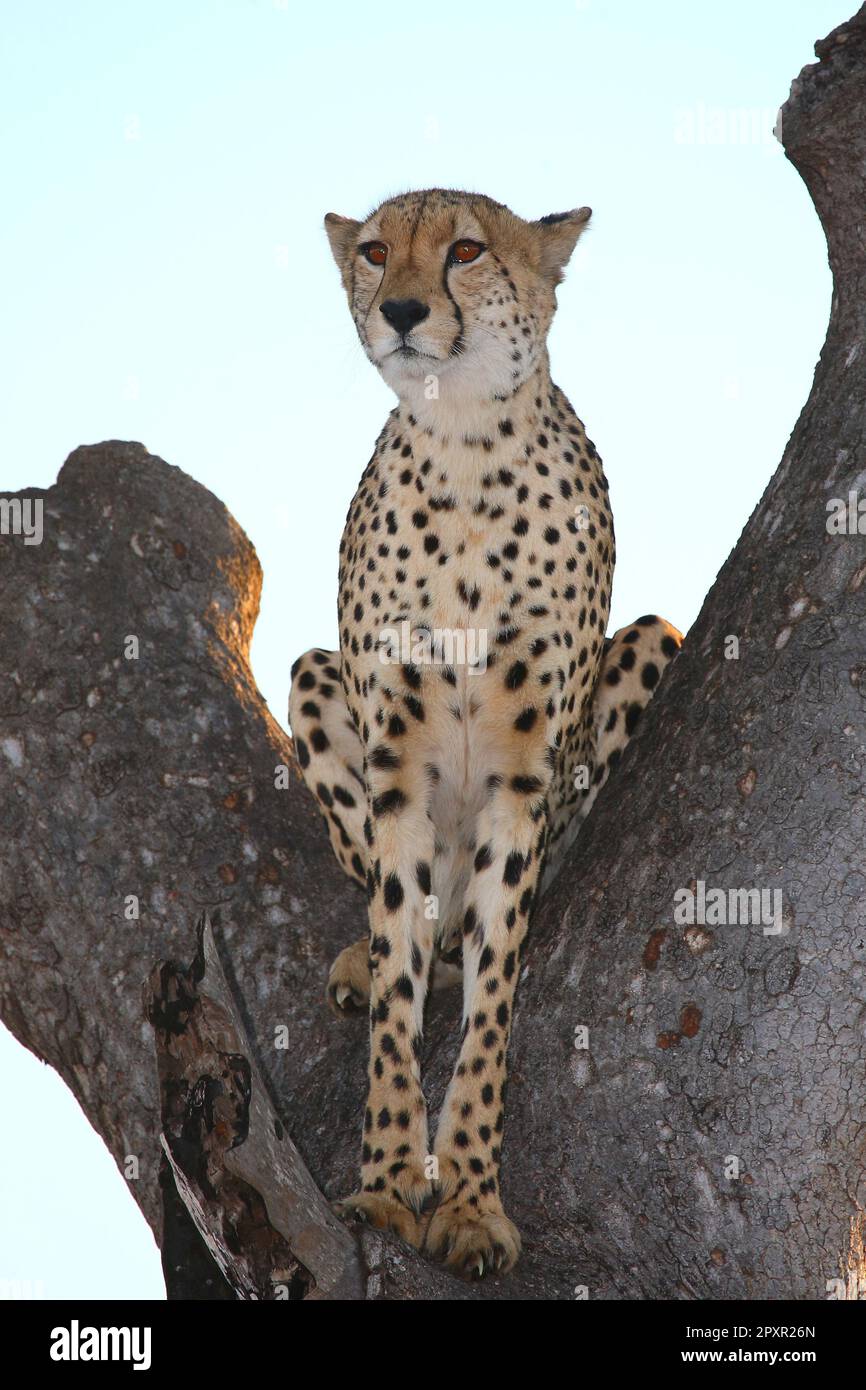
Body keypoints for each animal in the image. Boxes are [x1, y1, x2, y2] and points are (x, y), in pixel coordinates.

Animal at [289, 188, 682, 1280]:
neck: (464, 443)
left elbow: (492, 997)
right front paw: (389, 1183)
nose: (402, 309)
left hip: (652, 638)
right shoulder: (395, 776)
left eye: (465, 250)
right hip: (309, 676)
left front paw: (465, 1196)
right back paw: (361, 959)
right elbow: (397, 993)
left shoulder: (523, 780)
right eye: (374, 251)